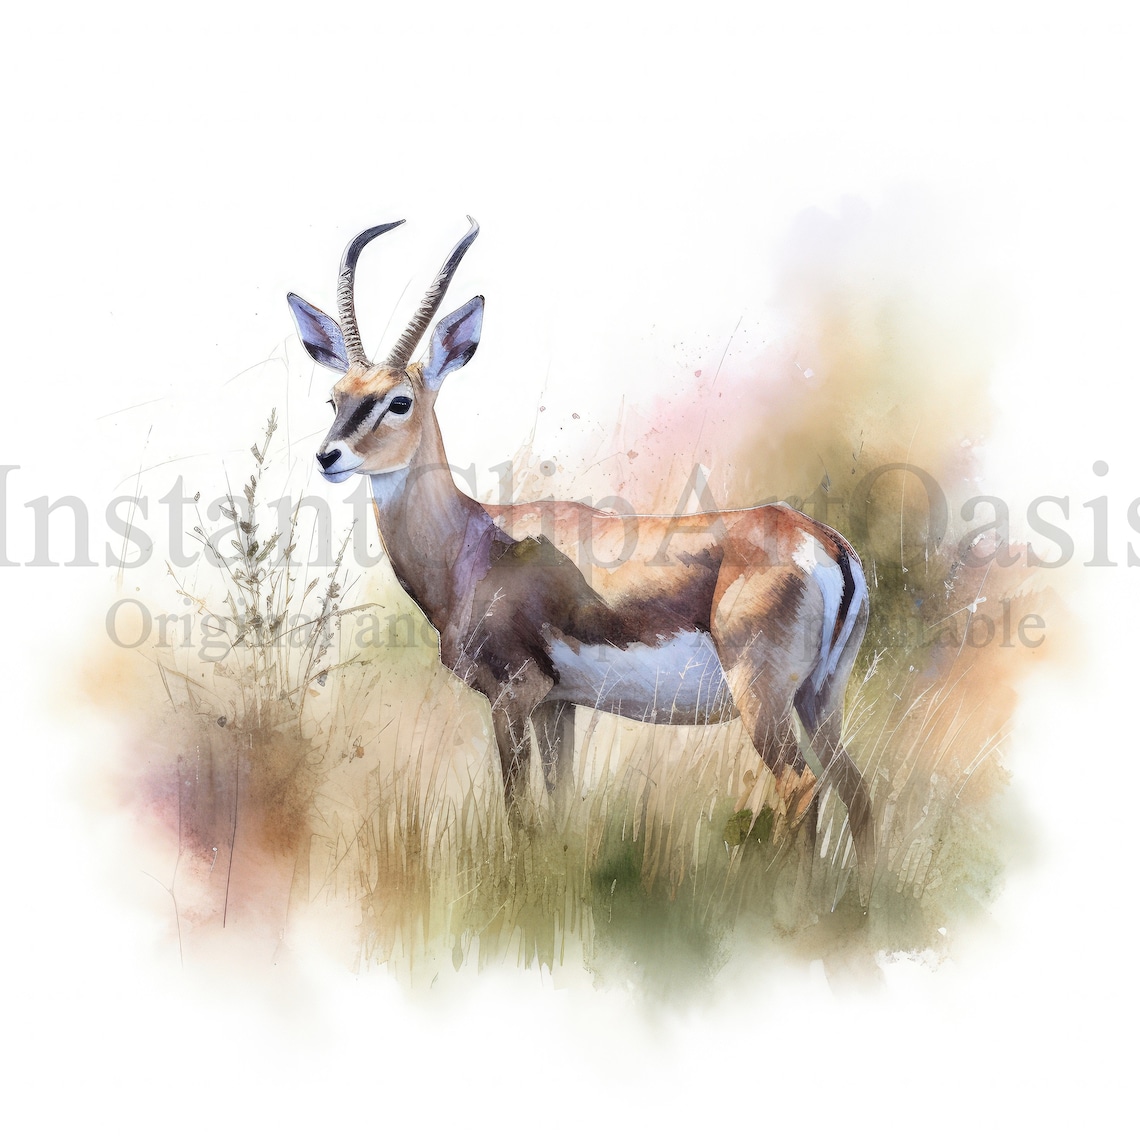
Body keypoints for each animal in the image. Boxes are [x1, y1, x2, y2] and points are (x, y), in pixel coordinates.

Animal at [288, 218, 875, 875]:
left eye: (399, 400)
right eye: (336, 396)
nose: (329, 456)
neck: (476, 544)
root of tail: (820, 540)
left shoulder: (513, 698)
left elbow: (521, 818)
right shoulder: (559, 705)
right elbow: (561, 806)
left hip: (764, 703)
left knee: (802, 787)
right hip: (819, 699)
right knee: (858, 794)